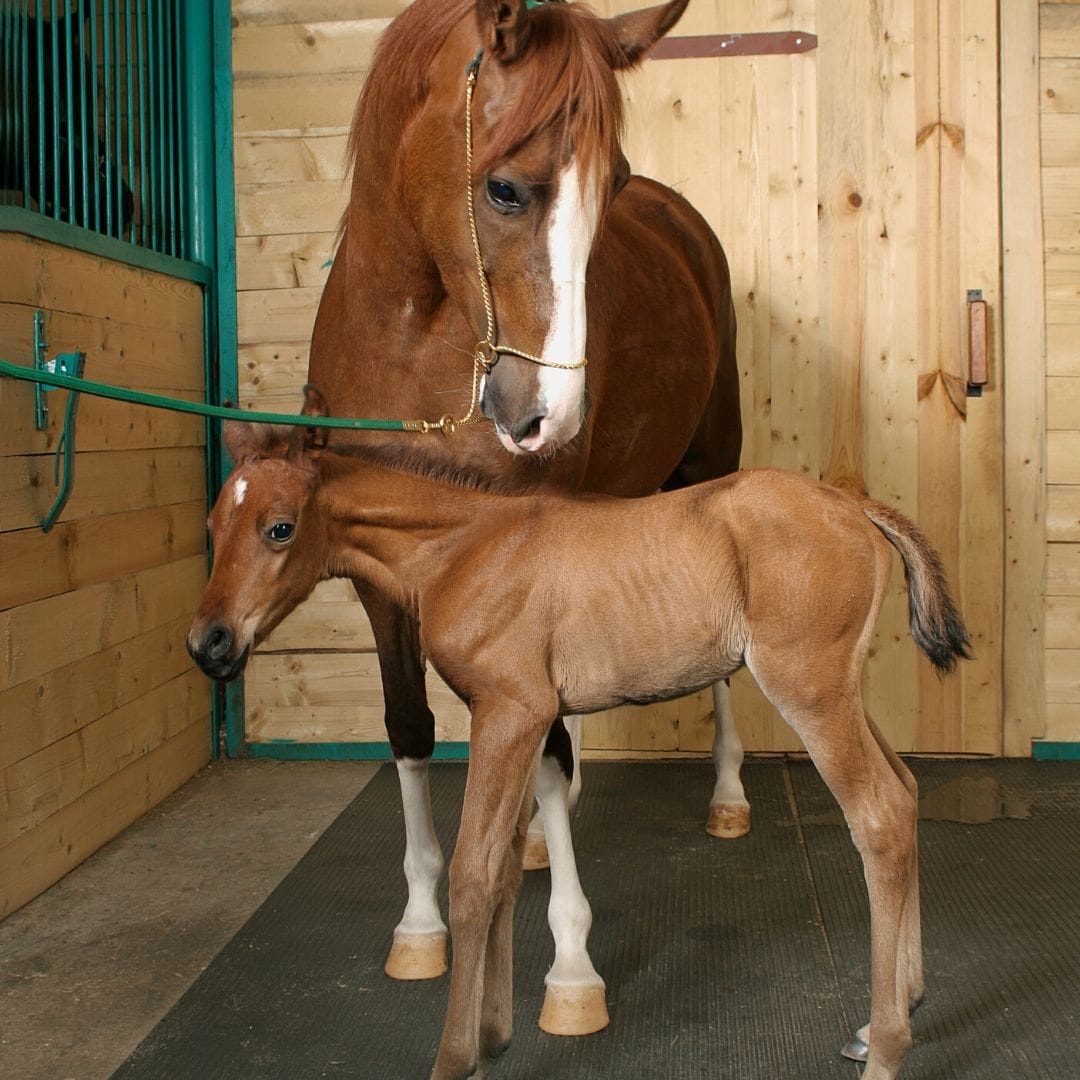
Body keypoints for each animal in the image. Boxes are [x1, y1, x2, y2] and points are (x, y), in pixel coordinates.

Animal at [188, 387, 970, 1080]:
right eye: (213, 527)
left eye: (280, 527)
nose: (208, 643)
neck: (464, 545)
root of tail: (854, 504)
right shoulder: (523, 719)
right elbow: (504, 869)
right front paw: (494, 1034)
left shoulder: (508, 711)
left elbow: (473, 875)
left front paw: (453, 1056)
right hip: (842, 689)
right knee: (905, 790)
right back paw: (895, 1009)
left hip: (809, 689)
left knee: (878, 815)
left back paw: (888, 1045)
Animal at [304, 0, 748, 1027]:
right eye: (506, 190)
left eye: (610, 188)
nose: (554, 415)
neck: (410, 348)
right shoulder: (382, 580)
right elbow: (410, 727)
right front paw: (421, 923)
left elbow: (540, 752)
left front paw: (571, 967)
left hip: (709, 464)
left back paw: (727, 793)